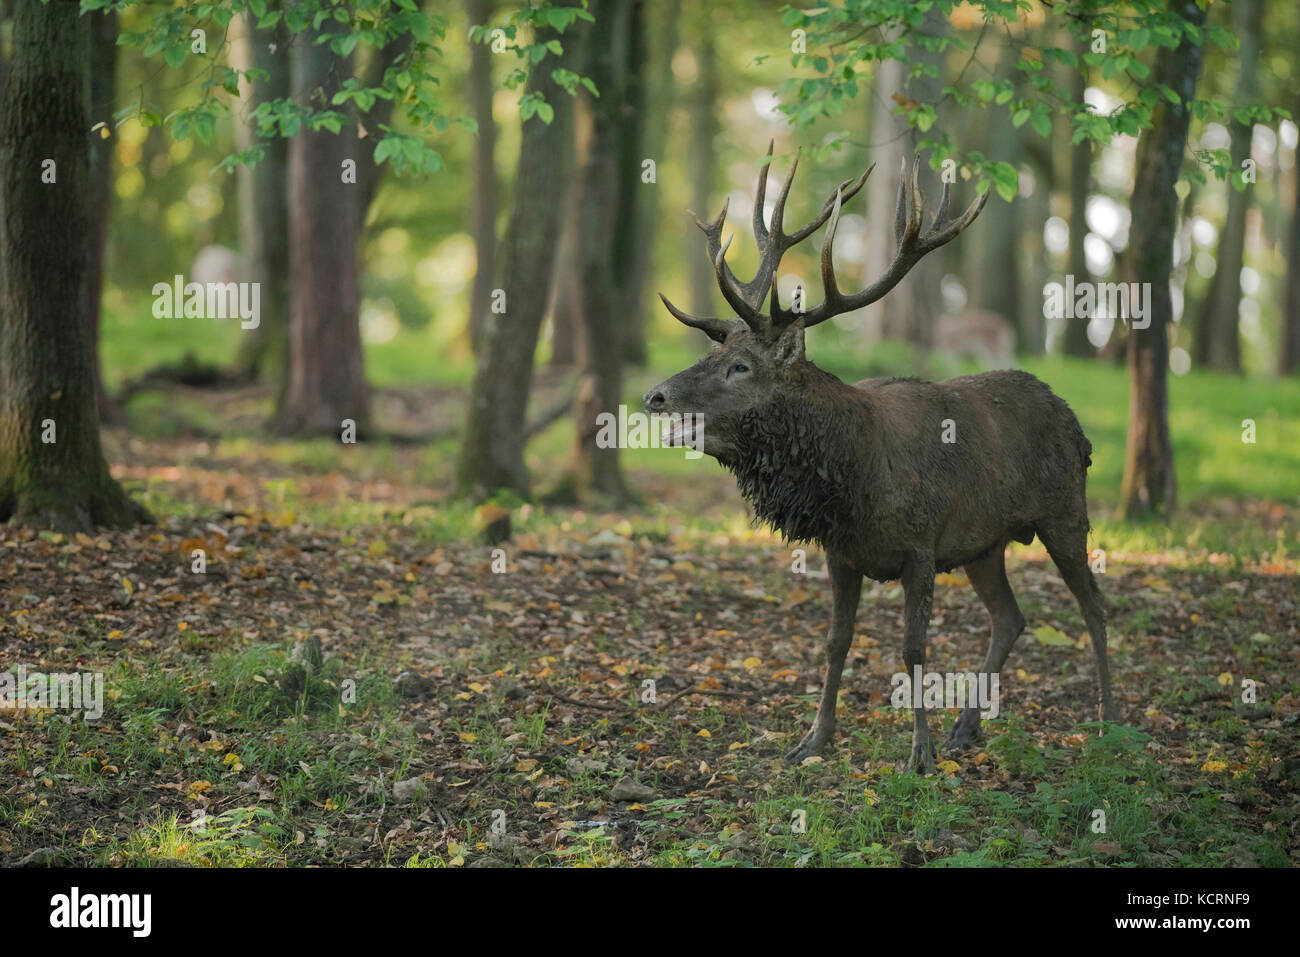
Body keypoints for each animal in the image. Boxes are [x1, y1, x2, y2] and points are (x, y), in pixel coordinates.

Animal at [644, 144, 1118, 772]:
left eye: (740, 366)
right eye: (709, 354)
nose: (655, 396)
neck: (855, 480)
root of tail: (1079, 428)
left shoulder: (921, 546)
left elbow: (914, 648)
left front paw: (918, 756)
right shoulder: (841, 553)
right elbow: (835, 641)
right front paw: (813, 740)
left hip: (1065, 513)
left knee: (1095, 606)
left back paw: (1110, 720)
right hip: (985, 543)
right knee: (1011, 618)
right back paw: (965, 727)